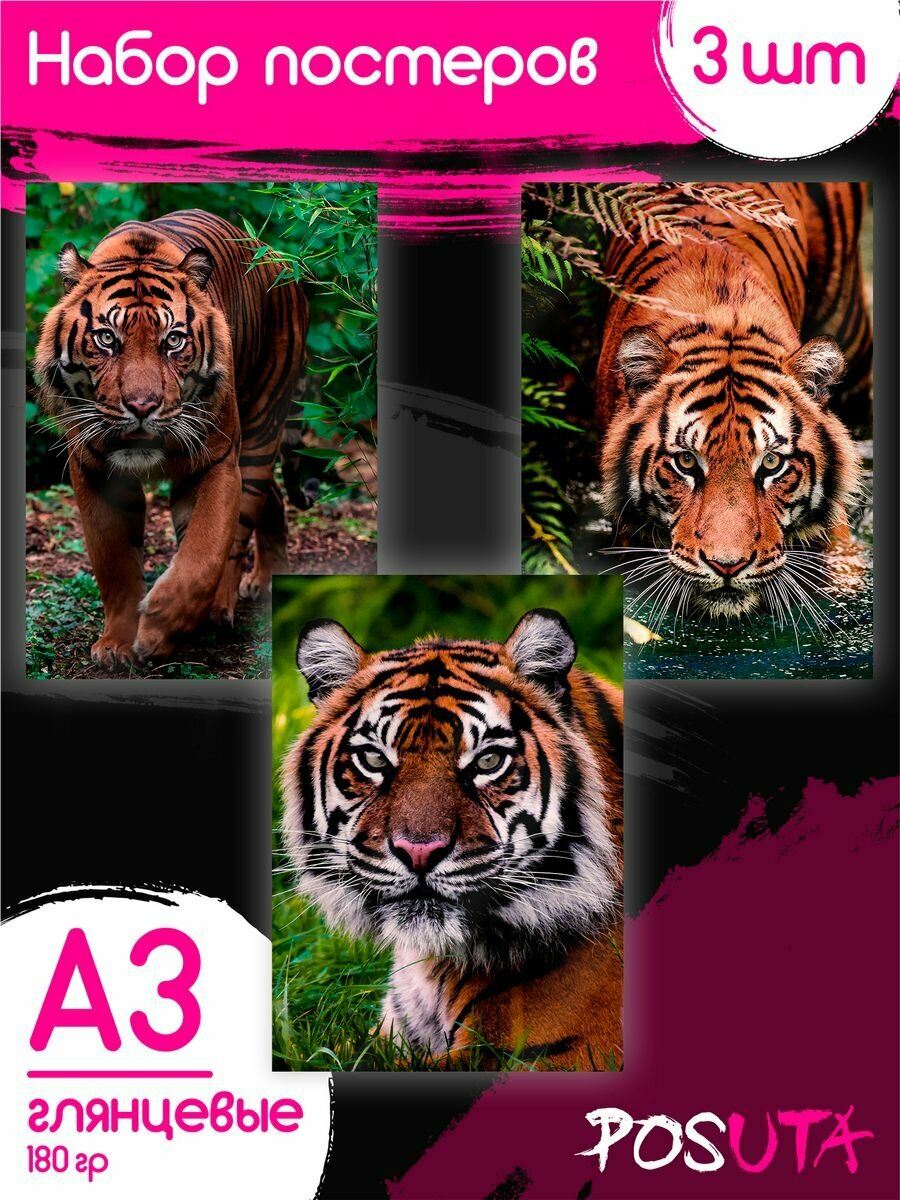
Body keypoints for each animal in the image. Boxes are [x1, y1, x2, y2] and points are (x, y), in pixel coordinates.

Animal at [34, 209, 308, 667]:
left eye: (173, 340)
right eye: (106, 338)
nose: (142, 406)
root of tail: (278, 257)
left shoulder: (217, 461)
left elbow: (203, 554)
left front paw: (159, 630)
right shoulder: (94, 471)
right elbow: (114, 564)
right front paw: (116, 644)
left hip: (261, 429)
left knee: (240, 529)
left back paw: (222, 607)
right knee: (273, 498)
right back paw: (269, 578)